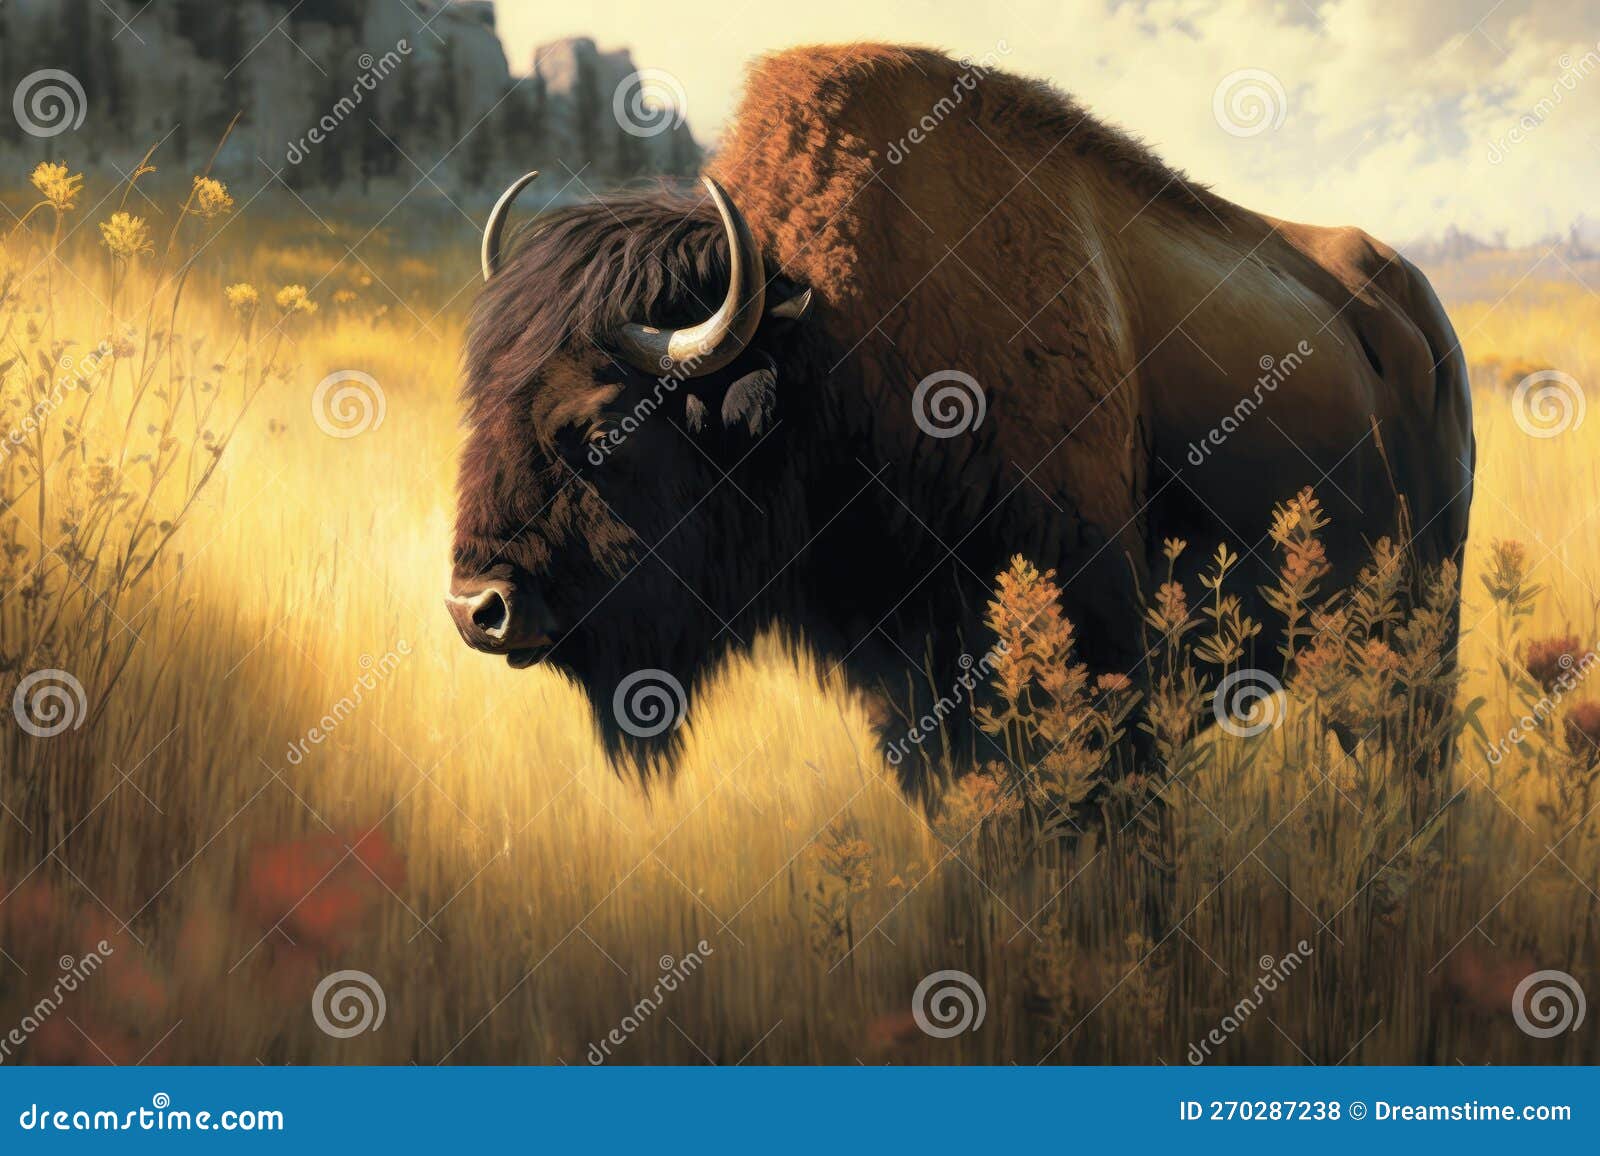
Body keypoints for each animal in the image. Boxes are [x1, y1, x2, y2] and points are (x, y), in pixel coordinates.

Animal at [447, 44, 1473, 785]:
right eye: (479, 406)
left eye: (599, 428)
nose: (478, 608)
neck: (825, 348)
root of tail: (1418, 313)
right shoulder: (907, 691)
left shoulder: (1101, 660)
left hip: (1416, 625)